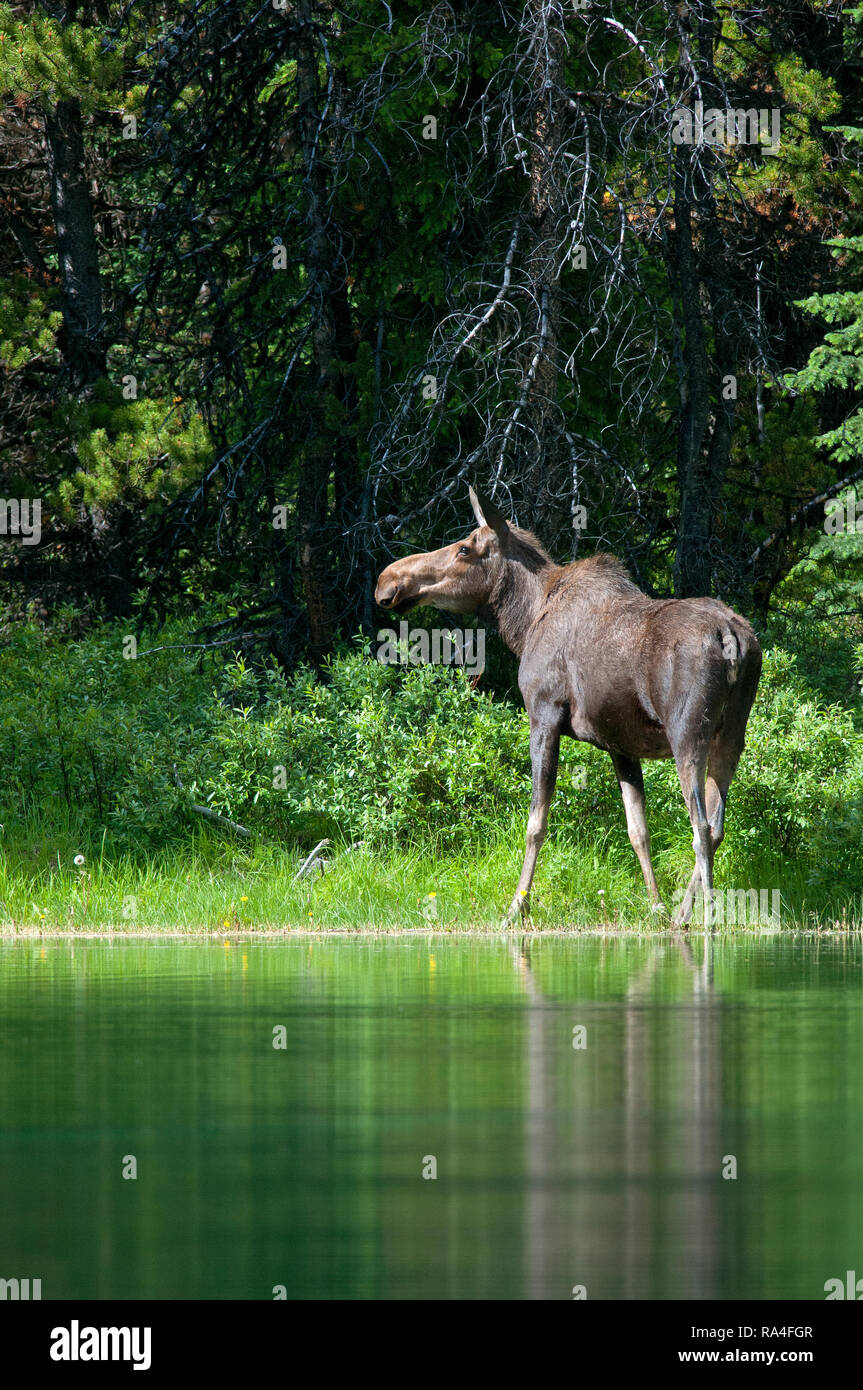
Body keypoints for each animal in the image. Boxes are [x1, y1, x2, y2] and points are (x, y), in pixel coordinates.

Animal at [374, 488, 762, 926]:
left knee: (700, 826)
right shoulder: (621, 745)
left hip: (688, 734)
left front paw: (516, 908)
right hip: (732, 736)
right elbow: (638, 831)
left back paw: (705, 920)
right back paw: (680, 915)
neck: (522, 624)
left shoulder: (543, 714)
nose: (387, 579)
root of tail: (733, 638)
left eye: (464, 549)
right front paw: (656, 906)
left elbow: (535, 823)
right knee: (716, 825)